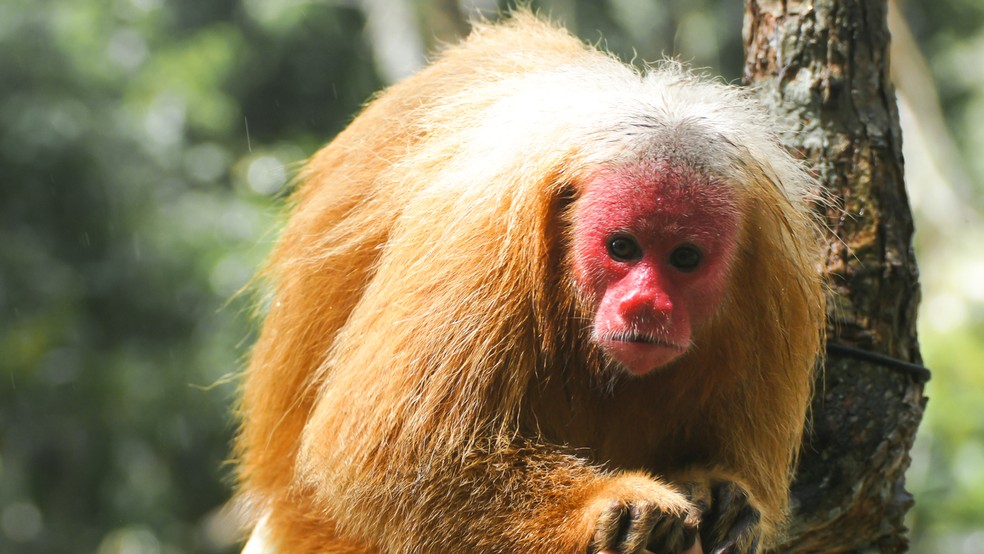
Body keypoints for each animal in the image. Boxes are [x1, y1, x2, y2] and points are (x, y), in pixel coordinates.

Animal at [235, 11, 825, 554]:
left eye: (685, 258)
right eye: (622, 248)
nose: (646, 304)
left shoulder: (777, 279)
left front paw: (717, 491)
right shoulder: (480, 237)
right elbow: (387, 458)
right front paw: (612, 508)